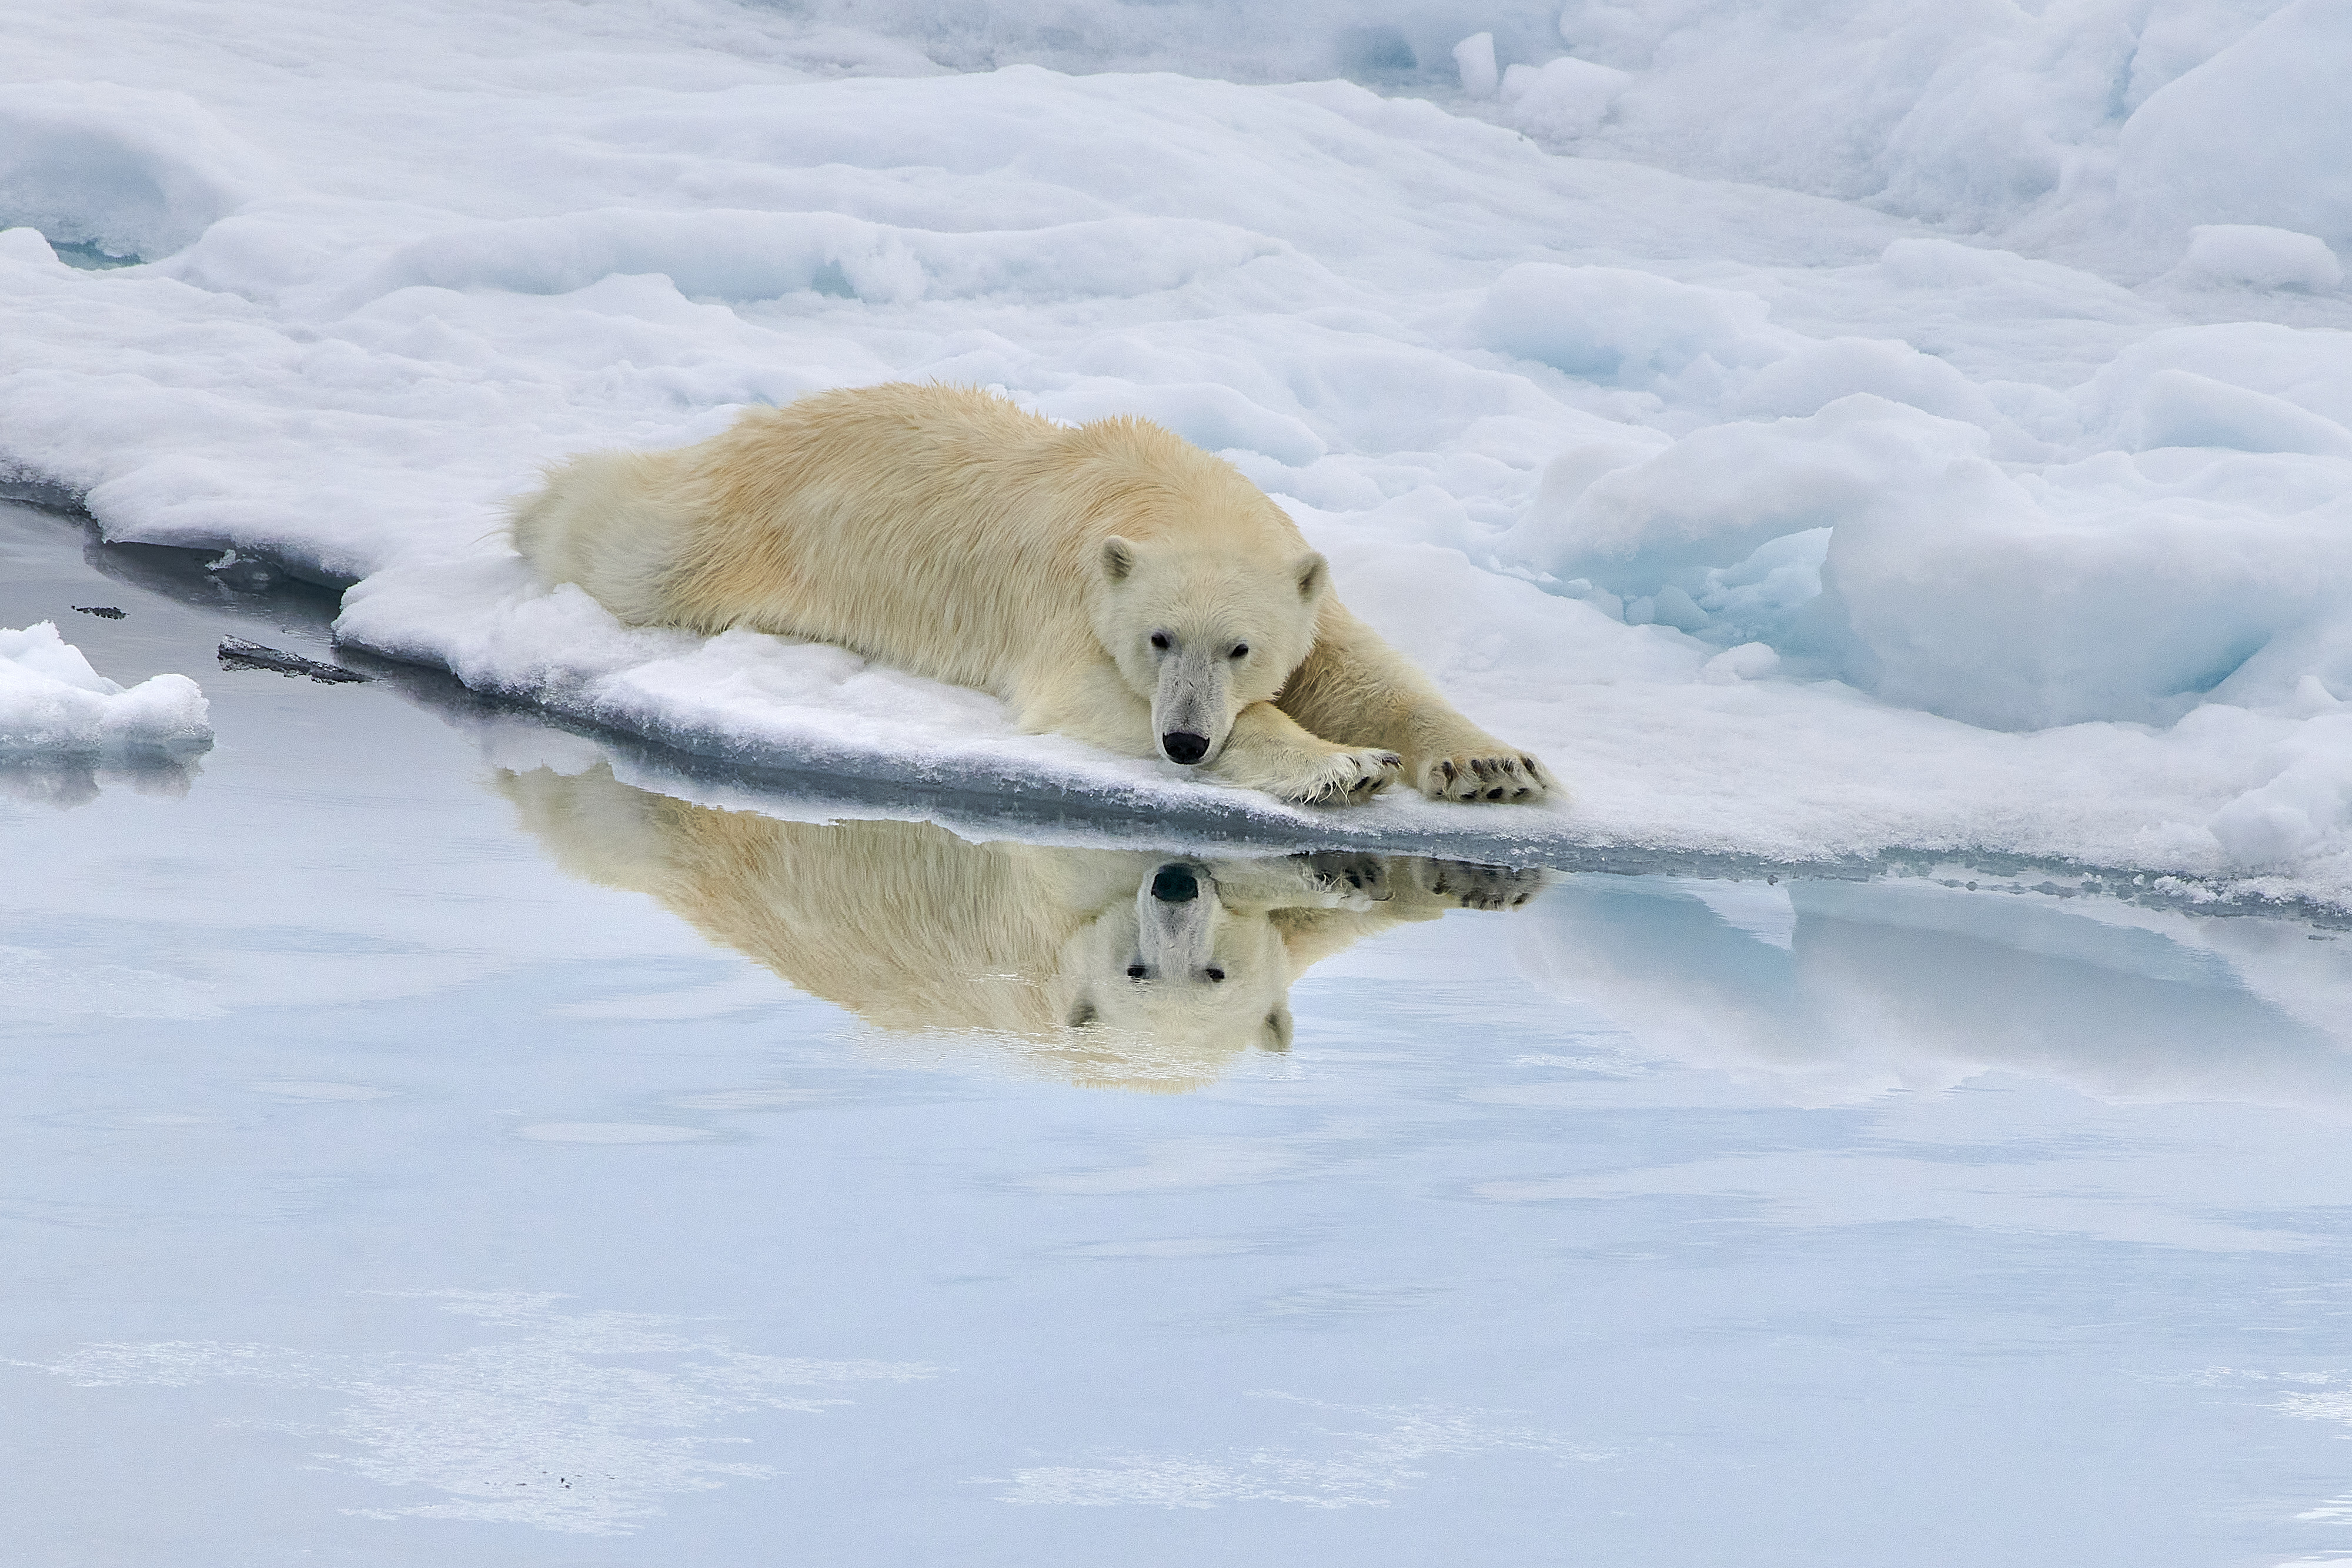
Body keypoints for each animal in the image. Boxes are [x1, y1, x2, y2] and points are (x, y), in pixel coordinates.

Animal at [509, 383, 1555, 807]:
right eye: (1159, 640)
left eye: (1241, 647)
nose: (1186, 741)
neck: (1168, 488)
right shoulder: (1069, 597)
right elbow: (1084, 693)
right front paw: (1342, 766)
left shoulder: (1299, 580)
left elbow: (1363, 670)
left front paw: (1491, 765)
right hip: (724, 534)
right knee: (624, 537)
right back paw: (537, 510)